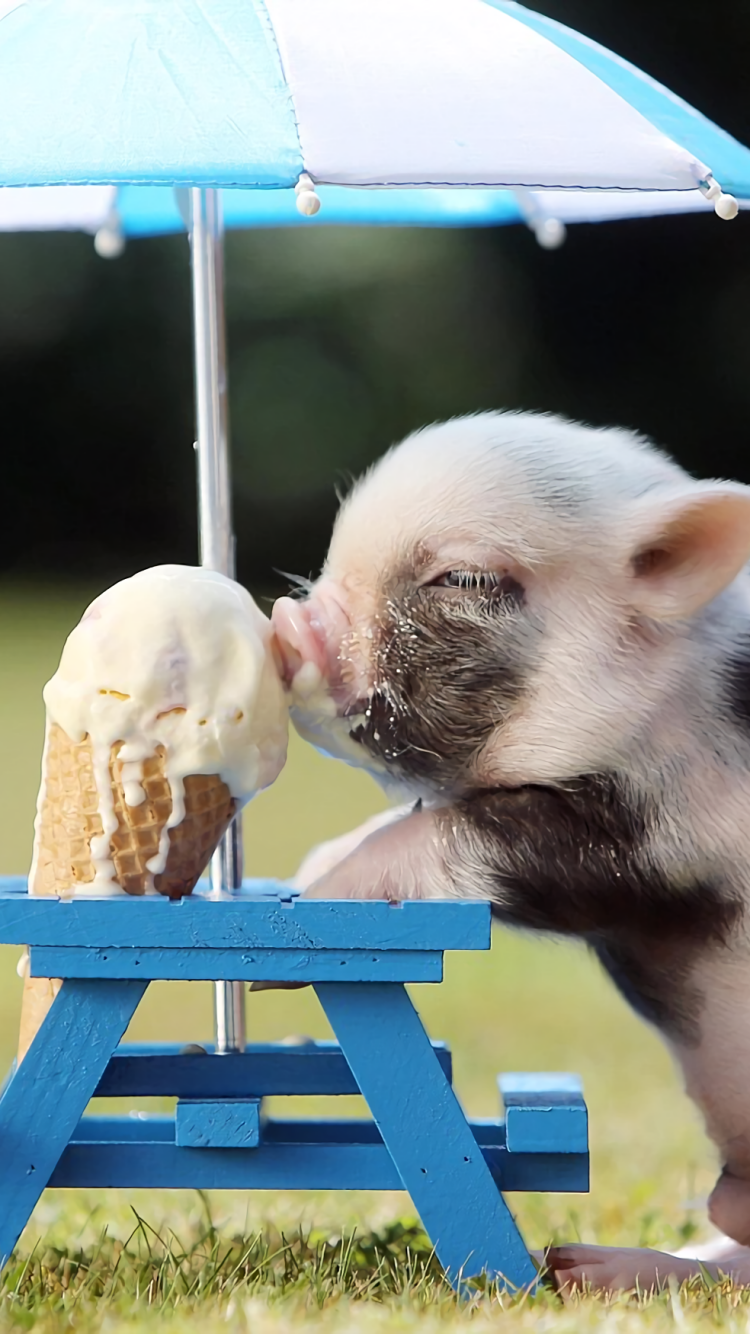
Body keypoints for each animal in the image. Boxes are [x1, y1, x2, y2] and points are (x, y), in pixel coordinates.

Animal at [271, 411, 750, 1293]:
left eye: (461, 578)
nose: (289, 624)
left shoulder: (662, 838)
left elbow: (462, 828)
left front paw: (312, 891)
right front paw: (310, 865)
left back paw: (584, 1271)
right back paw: (581, 1265)